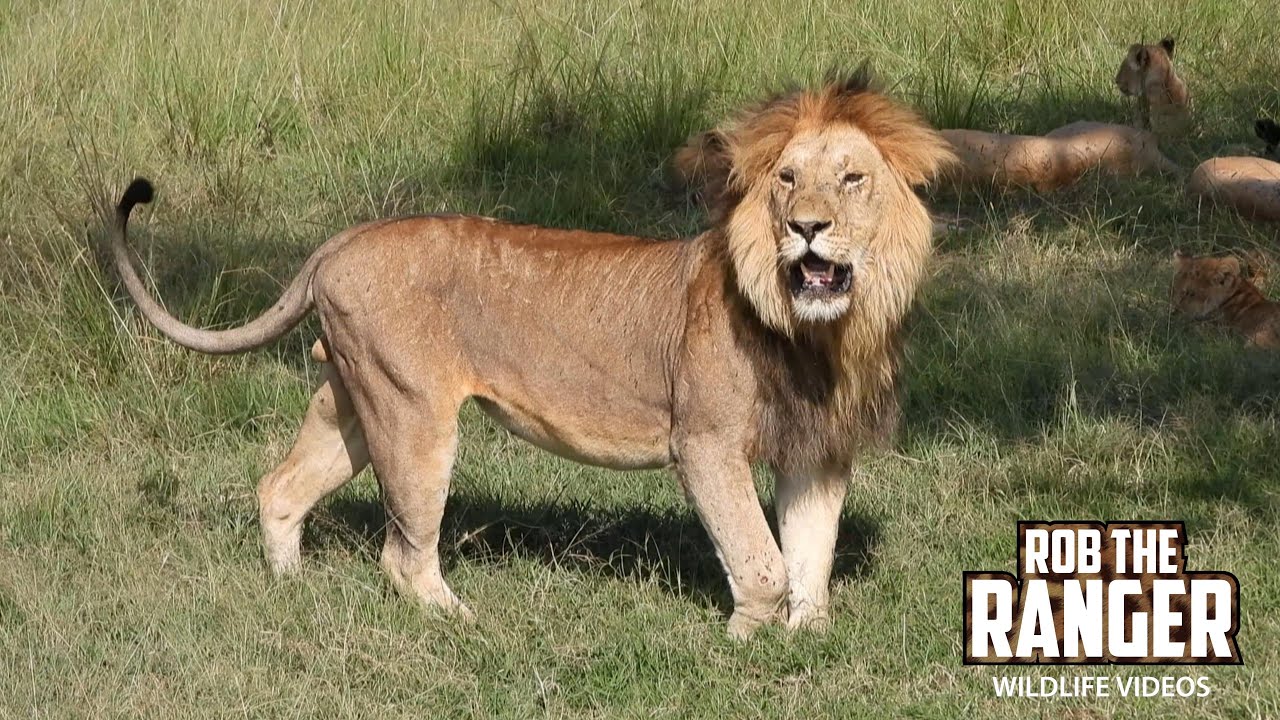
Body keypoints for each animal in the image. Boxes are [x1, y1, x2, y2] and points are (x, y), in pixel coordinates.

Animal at [104, 70, 955, 637]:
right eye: (786, 178)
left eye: (852, 178)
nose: (807, 227)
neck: (822, 330)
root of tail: (341, 239)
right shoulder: (704, 441)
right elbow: (761, 558)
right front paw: (746, 644)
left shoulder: (819, 449)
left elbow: (811, 553)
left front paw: (808, 639)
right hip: (413, 414)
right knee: (403, 553)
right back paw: (465, 624)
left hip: (354, 397)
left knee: (280, 486)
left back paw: (290, 590)